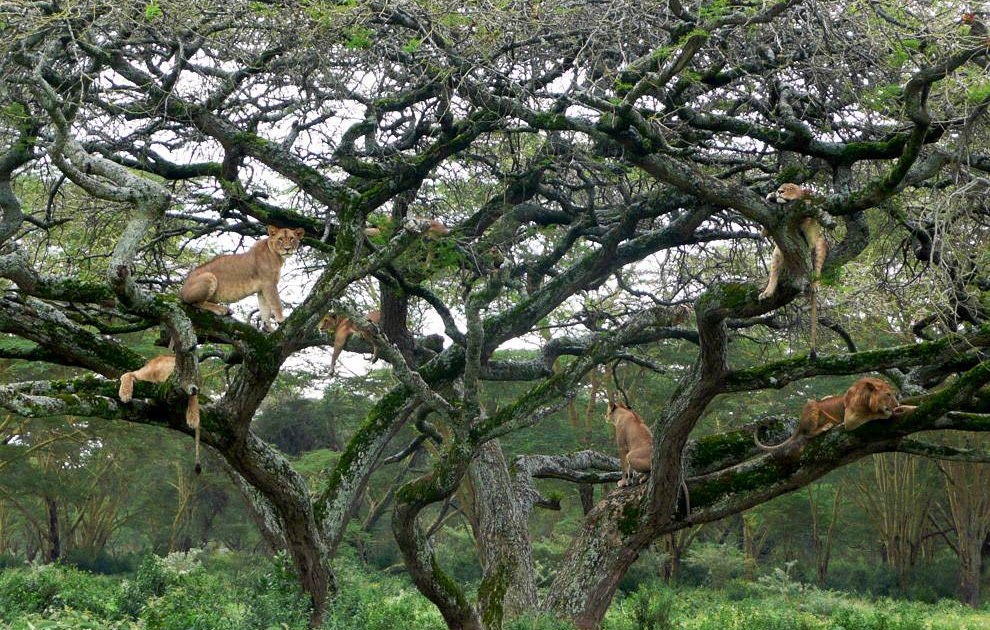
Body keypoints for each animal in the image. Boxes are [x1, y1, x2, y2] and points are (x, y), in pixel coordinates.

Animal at [755, 376, 916, 454]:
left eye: (893, 394)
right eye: (888, 394)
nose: (896, 403)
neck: (867, 399)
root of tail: (799, 424)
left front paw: (910, 407)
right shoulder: (850, 420)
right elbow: (872, 415)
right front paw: (885, 414)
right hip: (812, 403)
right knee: (807, 434)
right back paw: (825, 426)